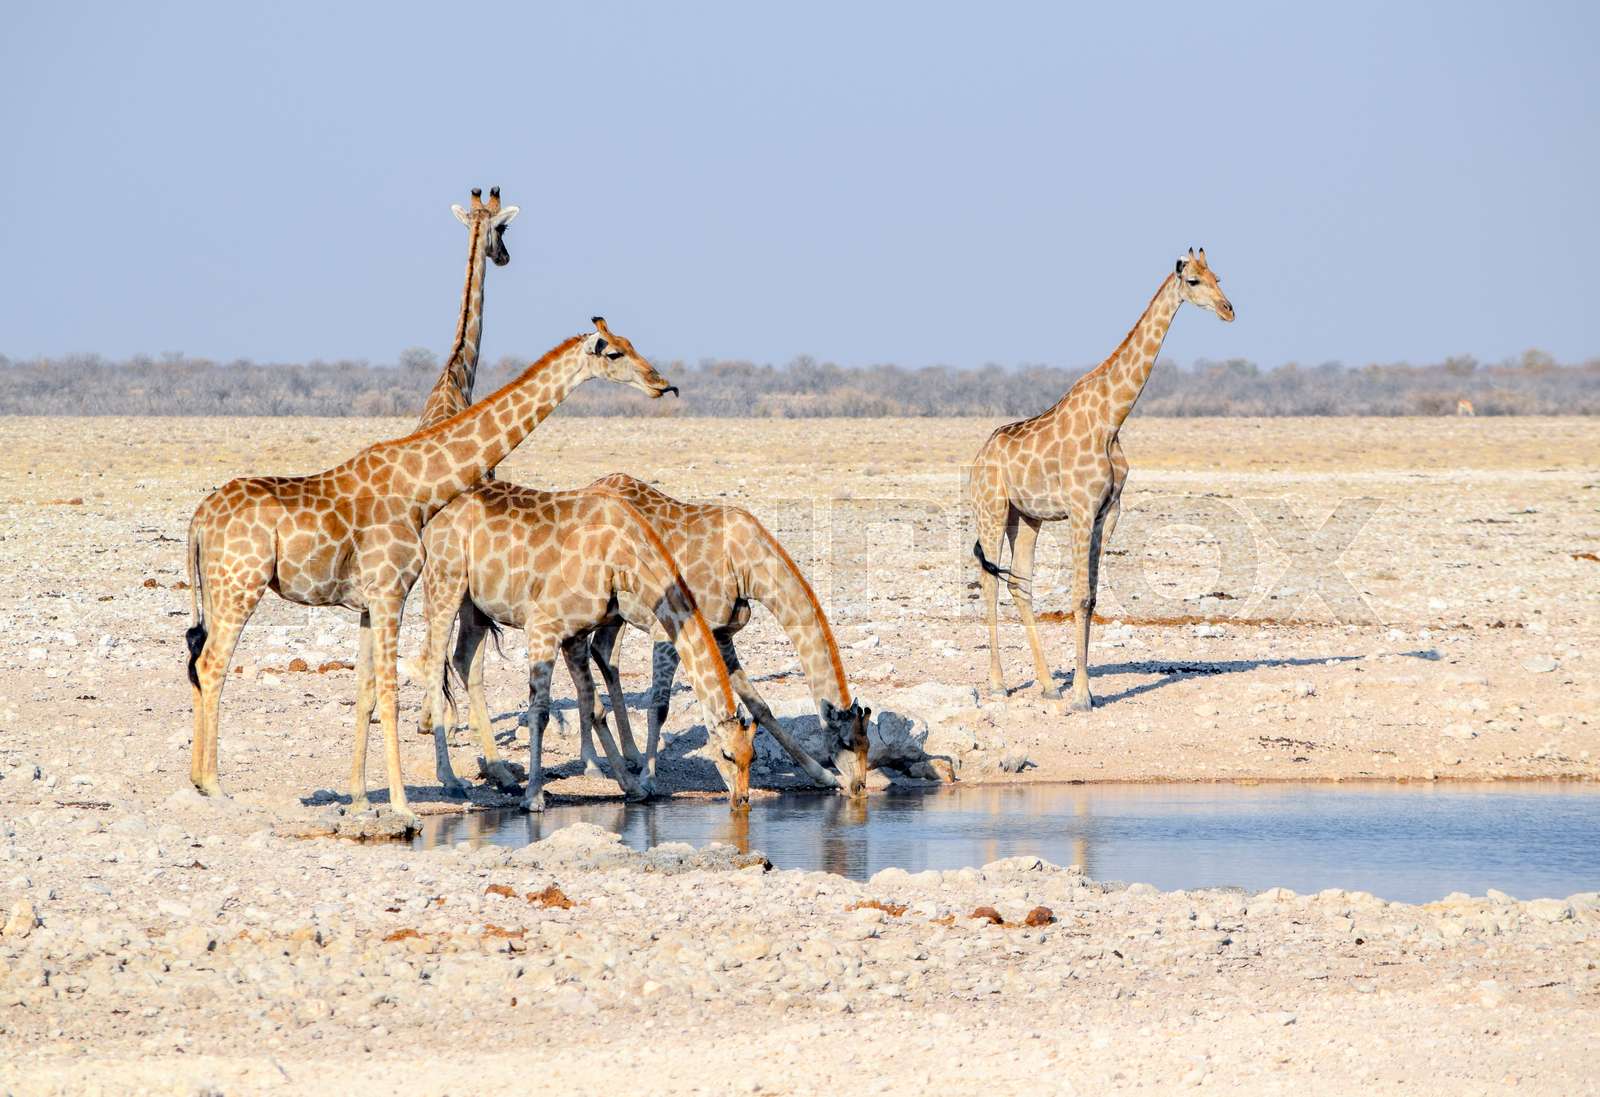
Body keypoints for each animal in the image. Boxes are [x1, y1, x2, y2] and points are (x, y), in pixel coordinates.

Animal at [183, 320, 677, 823]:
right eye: (614, 353)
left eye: (632, 345)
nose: (662, 384)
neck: (419, 488)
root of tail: (199, 519)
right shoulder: (390, 592)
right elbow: (392, 691)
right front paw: (403, 806)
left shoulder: (369, 603)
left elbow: (366, 690)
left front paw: (360, 797)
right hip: (241, 585)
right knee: (211, 664)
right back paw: (213, 785)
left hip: (223, 589)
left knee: (200, 661)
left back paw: (202, 781)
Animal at [415, 484, 757, 810]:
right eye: (726, 754)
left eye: (750, 756)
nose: (741, 800)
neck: (622, 555)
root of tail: (432, 517)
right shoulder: (543, 626)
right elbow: (541, 712)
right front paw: (534, 797)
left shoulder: (576, 634)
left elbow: (594, 707)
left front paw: (631, 787)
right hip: (444, 585)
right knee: (433, 662)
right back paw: (450, 779)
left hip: (474, 605)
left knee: (465, 661)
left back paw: (502, 774)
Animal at [576, 474, 872, 796]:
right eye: (846, 742)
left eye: (868, 743)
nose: (858, 786)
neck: (747, 567)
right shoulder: (667, 634)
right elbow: (660, 706)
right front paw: (649, 779)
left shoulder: (721, 635)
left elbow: (760, 707)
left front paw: (822, 775)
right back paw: (593, 765)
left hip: (616, 613)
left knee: (604, 654)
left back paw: (629, 755)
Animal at [968, 248, 1234, 711]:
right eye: (1194, 281)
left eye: (1218, 276)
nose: (1228, 309)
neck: (1113, 418)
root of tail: (980, 456)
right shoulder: (1080, 508)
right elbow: (1078, 596)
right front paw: (1081, 696)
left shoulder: (1107, 512)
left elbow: (1091, 598)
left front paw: (1080, 690)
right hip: (992, 508)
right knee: (989, 581)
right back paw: (1000, 684)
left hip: (1026, 517)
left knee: (1020, 582)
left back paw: (1047, 684)